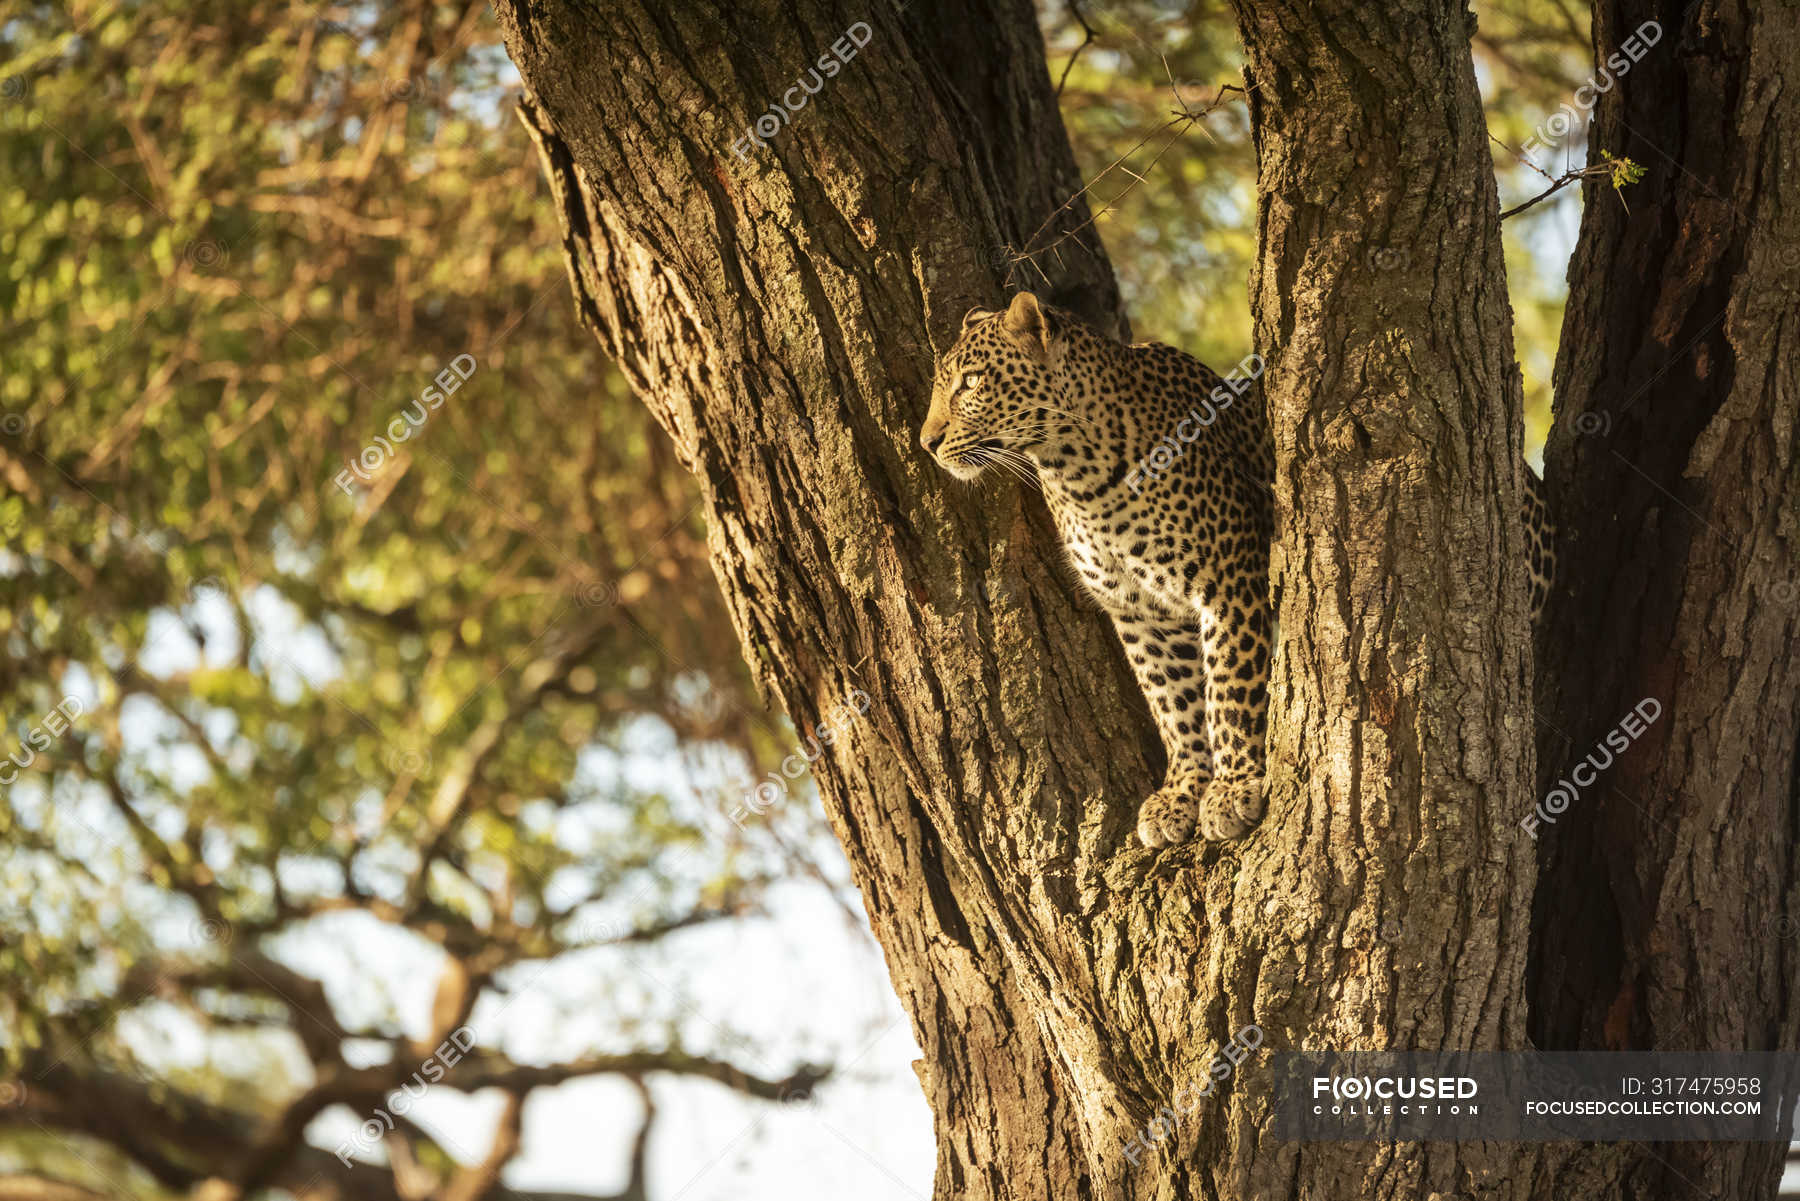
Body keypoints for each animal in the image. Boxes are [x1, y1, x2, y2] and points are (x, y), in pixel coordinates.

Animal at [919, 290, 1556, 848]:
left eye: (971, 382)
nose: (926, 443)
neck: (1077, 473)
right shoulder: (1140, 612)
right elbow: (1174, 702)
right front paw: (1181, 793)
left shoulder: (1227, 579)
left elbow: (1227, 687)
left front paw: (1232, 789)